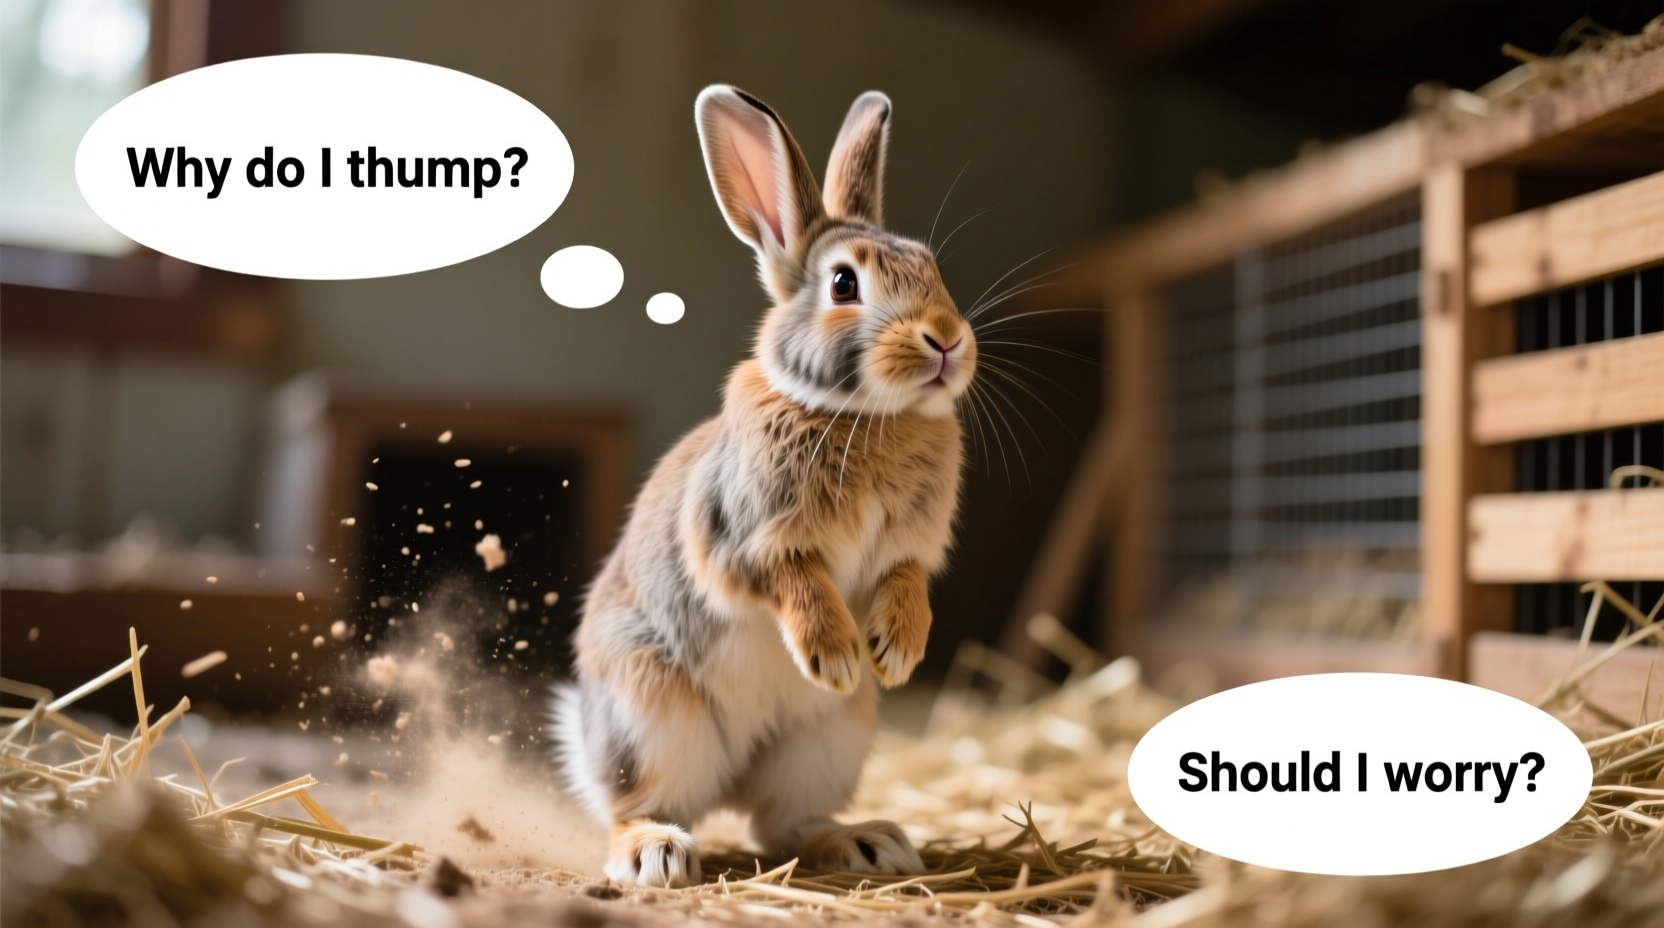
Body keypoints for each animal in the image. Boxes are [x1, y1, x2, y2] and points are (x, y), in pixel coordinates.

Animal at [553, 84, 976, 888]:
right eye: (844, 283)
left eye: (934, 267)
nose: (946, 339)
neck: (862, 413)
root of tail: (731, 780)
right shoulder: (741, 536)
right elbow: (794, 580)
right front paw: (836, 655)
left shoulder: (909, 550)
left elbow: (907, 581)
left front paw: (896, 652)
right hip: (649, 713)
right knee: (637, 804)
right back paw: (656, 853)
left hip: (828, 739)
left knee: (784, 823)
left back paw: (868, 843)